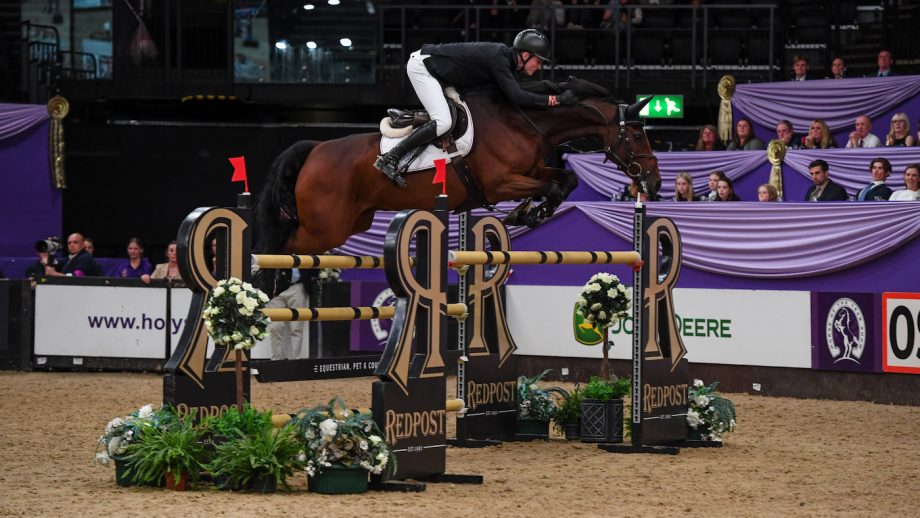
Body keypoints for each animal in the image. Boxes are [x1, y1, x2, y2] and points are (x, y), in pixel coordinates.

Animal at [253, 77, 660, 261]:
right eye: (637, 134)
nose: (654, 184)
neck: (524, 122)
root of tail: (316, 149)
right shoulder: (501, 183)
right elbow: (554, 186)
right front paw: (528, 213)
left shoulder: (532, 172)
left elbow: (566, 180)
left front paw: (528, 213)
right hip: (324, 229)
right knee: (279, 250)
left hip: (353, 222)